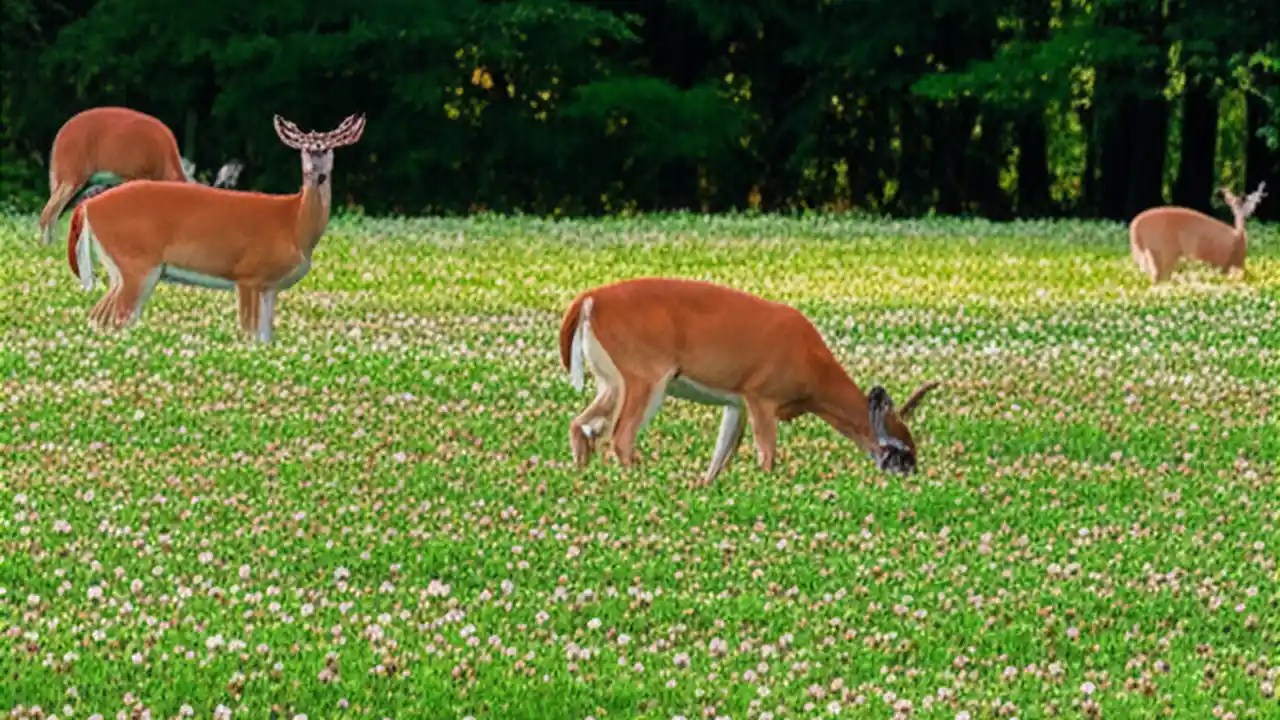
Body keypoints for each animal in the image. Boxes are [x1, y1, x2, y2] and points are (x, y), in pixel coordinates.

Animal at [65, 113, 366, 343]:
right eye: (303, 149)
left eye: (328, 148)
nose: (315, 171)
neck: (294, 223)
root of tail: (88, 206)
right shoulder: (249, 274)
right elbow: (251, 336)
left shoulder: (269, 286)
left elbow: (267, 338)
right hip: (136, 262)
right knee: (114, 318)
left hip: (121, 268)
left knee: (99, 317)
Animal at [557, 277, 940, 484]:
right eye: (901, 451)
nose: (912, 477)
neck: (813, 374)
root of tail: (588, 300)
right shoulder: (761, 393)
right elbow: (766, 455)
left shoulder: (736, 400)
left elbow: (720, 458)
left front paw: (704, 487)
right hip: (645, 373)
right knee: (620, 436)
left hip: (612, 379)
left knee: (580, 425)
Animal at [1129, 181, 1267, 284]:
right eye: (1234, 206)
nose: (1244, 214)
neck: (1239, 236)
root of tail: (1135, 228)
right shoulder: (1230, 263)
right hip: (1164, 249)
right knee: (1160, 276)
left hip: (1155, 253)